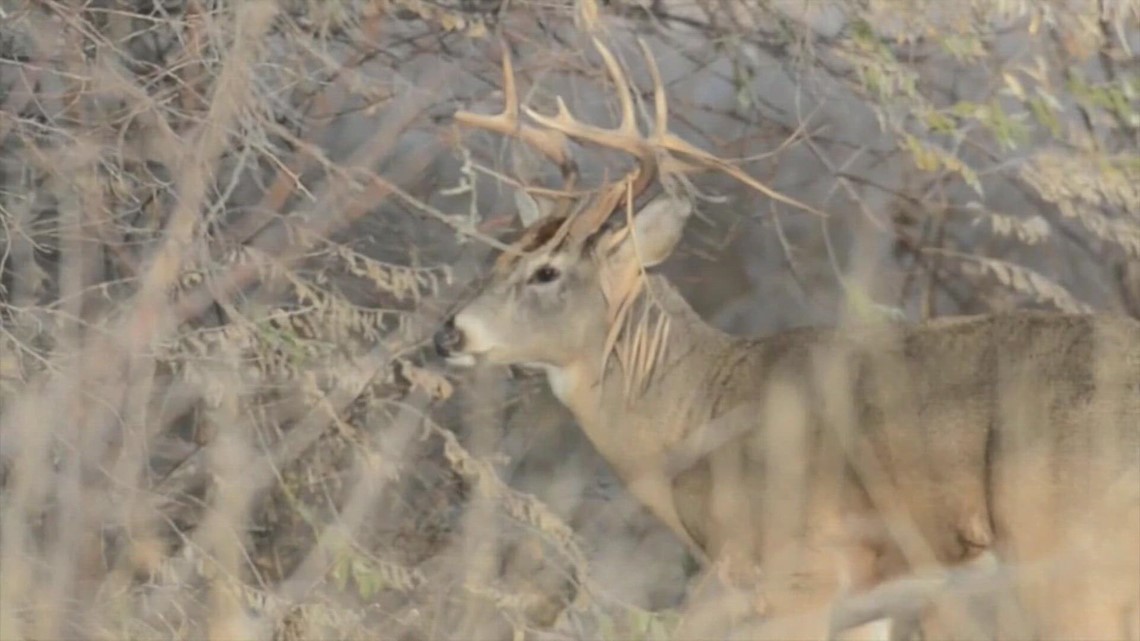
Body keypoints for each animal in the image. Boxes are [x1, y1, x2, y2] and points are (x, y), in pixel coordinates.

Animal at [435, 36, 1140, 640]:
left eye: (546, 271)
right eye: (496, 256)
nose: (450, 332)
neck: (696, 409)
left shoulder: (794, 572)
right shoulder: (862, 603)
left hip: (1071, 558)